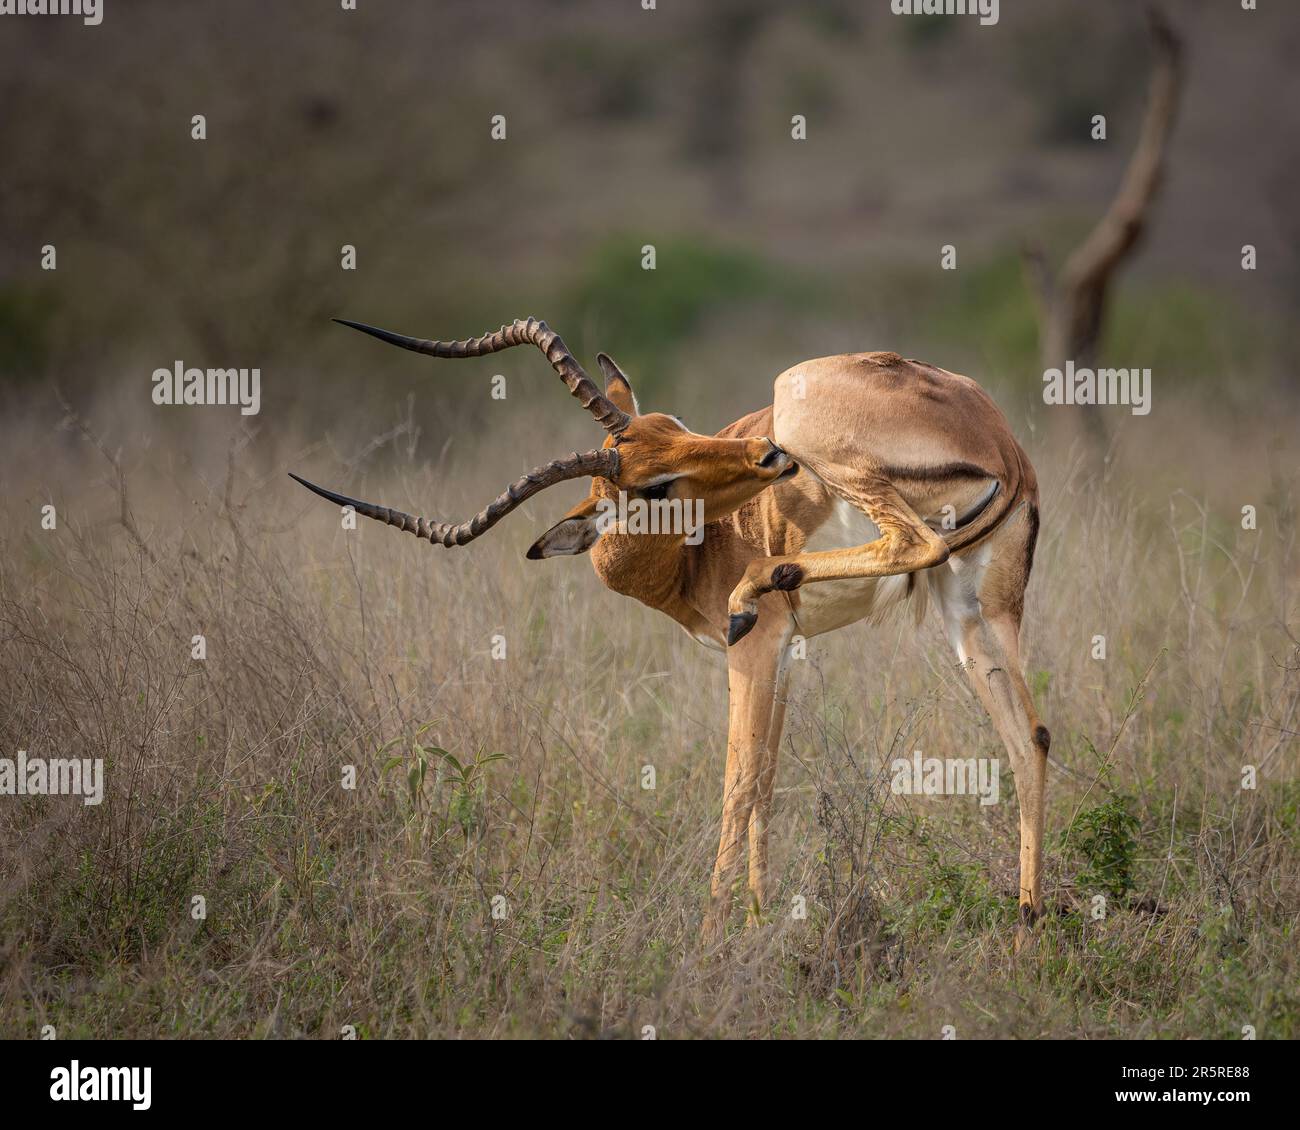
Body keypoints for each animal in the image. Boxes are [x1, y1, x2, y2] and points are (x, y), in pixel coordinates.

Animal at [292, 317, 1049, 945]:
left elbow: (738, 782)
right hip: (977, 615)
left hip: (816, 420)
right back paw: (1027, 929)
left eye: (674, 422)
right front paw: (756, 923)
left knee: (915, 542)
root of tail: (1004, 444)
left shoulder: (756, 647)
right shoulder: (783, 655)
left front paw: (715, 936)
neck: (697, 550)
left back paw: (760, 582)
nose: (768, 454)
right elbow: (765, 780)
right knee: (1029, 738)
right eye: (653, 478)